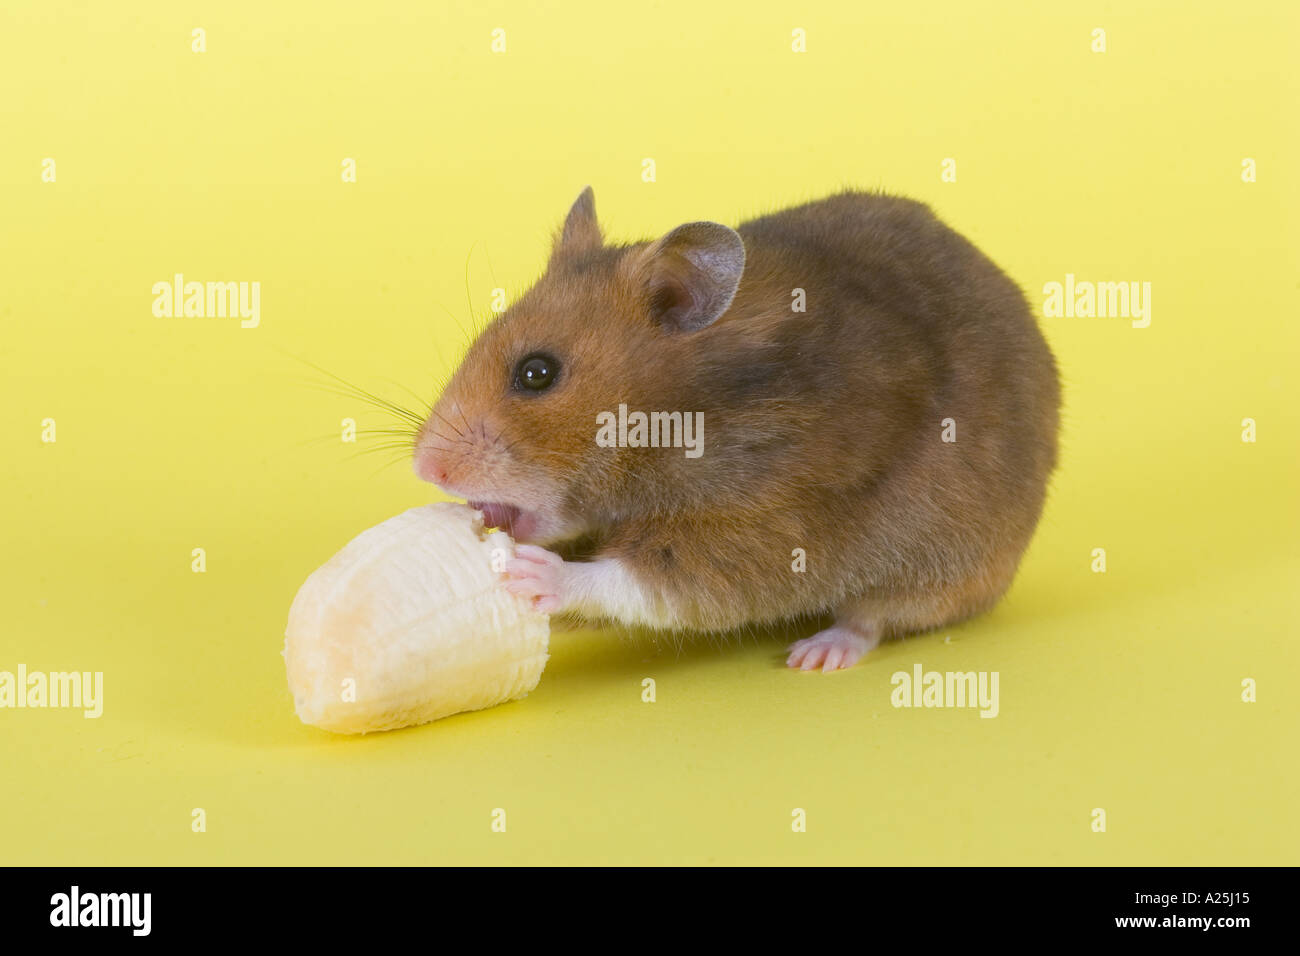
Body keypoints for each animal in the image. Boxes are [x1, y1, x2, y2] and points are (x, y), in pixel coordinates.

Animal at [414, 187, 1060, 671]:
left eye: (537, 373)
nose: (425, 466)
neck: (683, 421)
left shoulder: (773, 517)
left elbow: (651, 580)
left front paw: (532, 572)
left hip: (941, 566)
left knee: (872, 618)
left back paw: (816, 654)